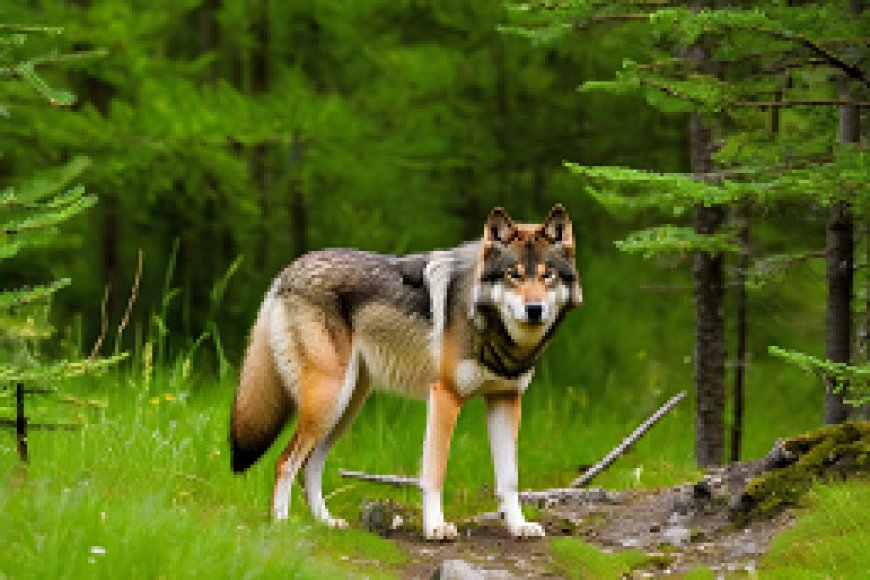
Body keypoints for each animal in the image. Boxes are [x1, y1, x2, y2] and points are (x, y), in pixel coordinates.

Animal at [229, 205, 582, 540]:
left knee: (311, 467)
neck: (493, 330)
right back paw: (281, 525)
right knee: (286, 462)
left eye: (548, 275)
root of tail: (286, 272)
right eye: (513, 274)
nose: (534, 310)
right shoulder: (444, 398)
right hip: (328, 403)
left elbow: (509, 478)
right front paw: (436, 528)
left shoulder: (506, 399)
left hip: (344, 409)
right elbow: (435, 472)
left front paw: (519, 526)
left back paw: (327, 523)